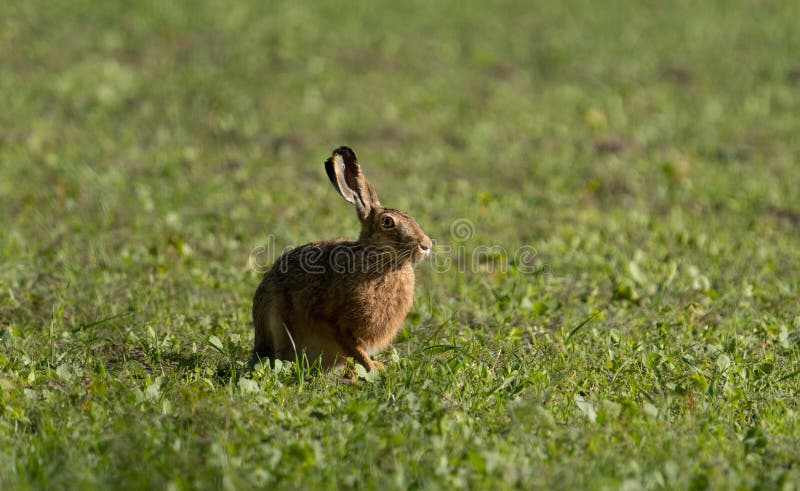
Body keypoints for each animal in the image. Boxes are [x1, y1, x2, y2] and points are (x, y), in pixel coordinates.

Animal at [252, 146, 432, 370]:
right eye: (387, 222)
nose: (426, 245)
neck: (379, 260)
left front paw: (376, 366)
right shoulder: (332, 321)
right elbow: (354, 348)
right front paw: (373, 368)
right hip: (275, 318)